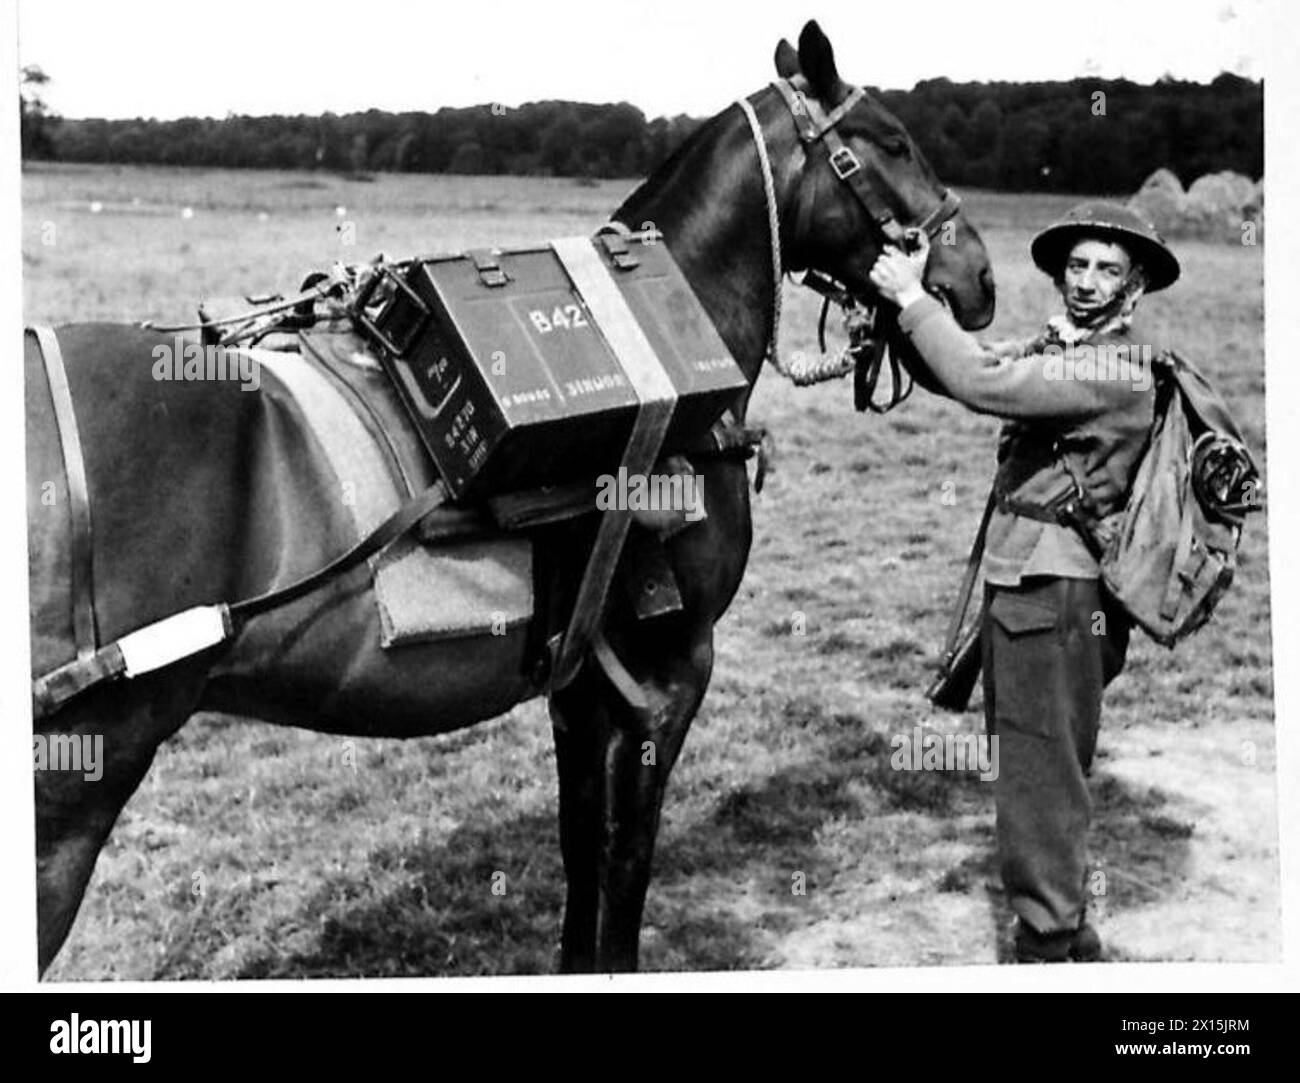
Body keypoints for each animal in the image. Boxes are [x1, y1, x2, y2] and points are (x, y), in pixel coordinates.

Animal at [27, 20, 995, 977]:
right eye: (892, 142)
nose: (979, 278)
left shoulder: (585, 684)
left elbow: (581, 849)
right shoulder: (672, 674)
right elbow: (627, 864)